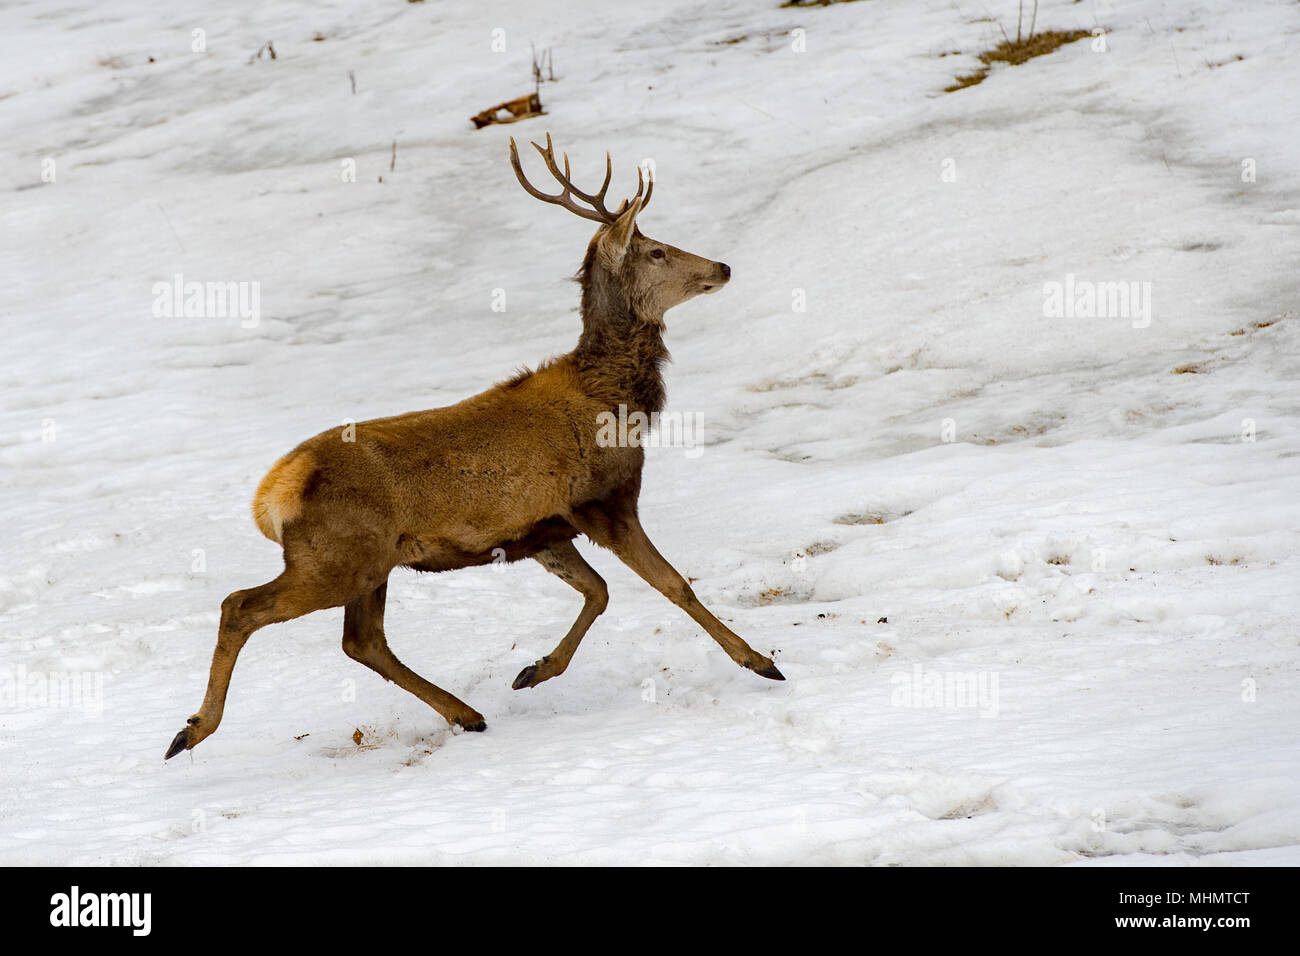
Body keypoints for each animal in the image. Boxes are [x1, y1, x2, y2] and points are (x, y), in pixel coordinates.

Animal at [165, 134, 784, 761]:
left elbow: (599, 591)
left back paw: (466, 713)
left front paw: (534, 670)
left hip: (371, 563)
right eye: (656, 250)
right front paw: (759, 661)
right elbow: (673, 584)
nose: (723, 266)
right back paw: (193, 728)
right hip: (334, 559)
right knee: (241, 606)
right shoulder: (603, 499)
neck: (614, 401)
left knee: (363, 640)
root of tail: (272, 496)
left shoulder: (542, 528)